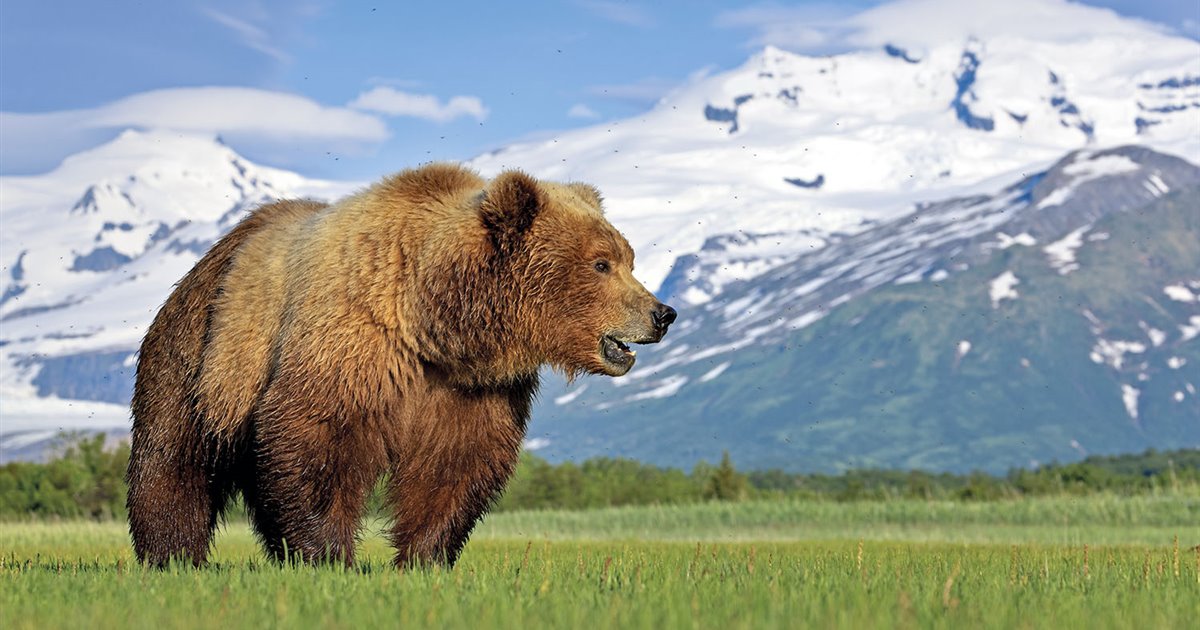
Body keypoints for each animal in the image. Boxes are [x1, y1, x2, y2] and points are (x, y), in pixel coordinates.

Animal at [126, 164, 676, 568]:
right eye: (601, 263)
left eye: (628, 258)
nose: (662, 313)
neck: (434, 322)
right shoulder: (353, 344)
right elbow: (315, 437)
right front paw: (330, 556)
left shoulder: (472, 389)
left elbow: (458, 463)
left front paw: (424, 558)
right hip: (203, 354)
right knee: (173, 458)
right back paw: (173, 557)